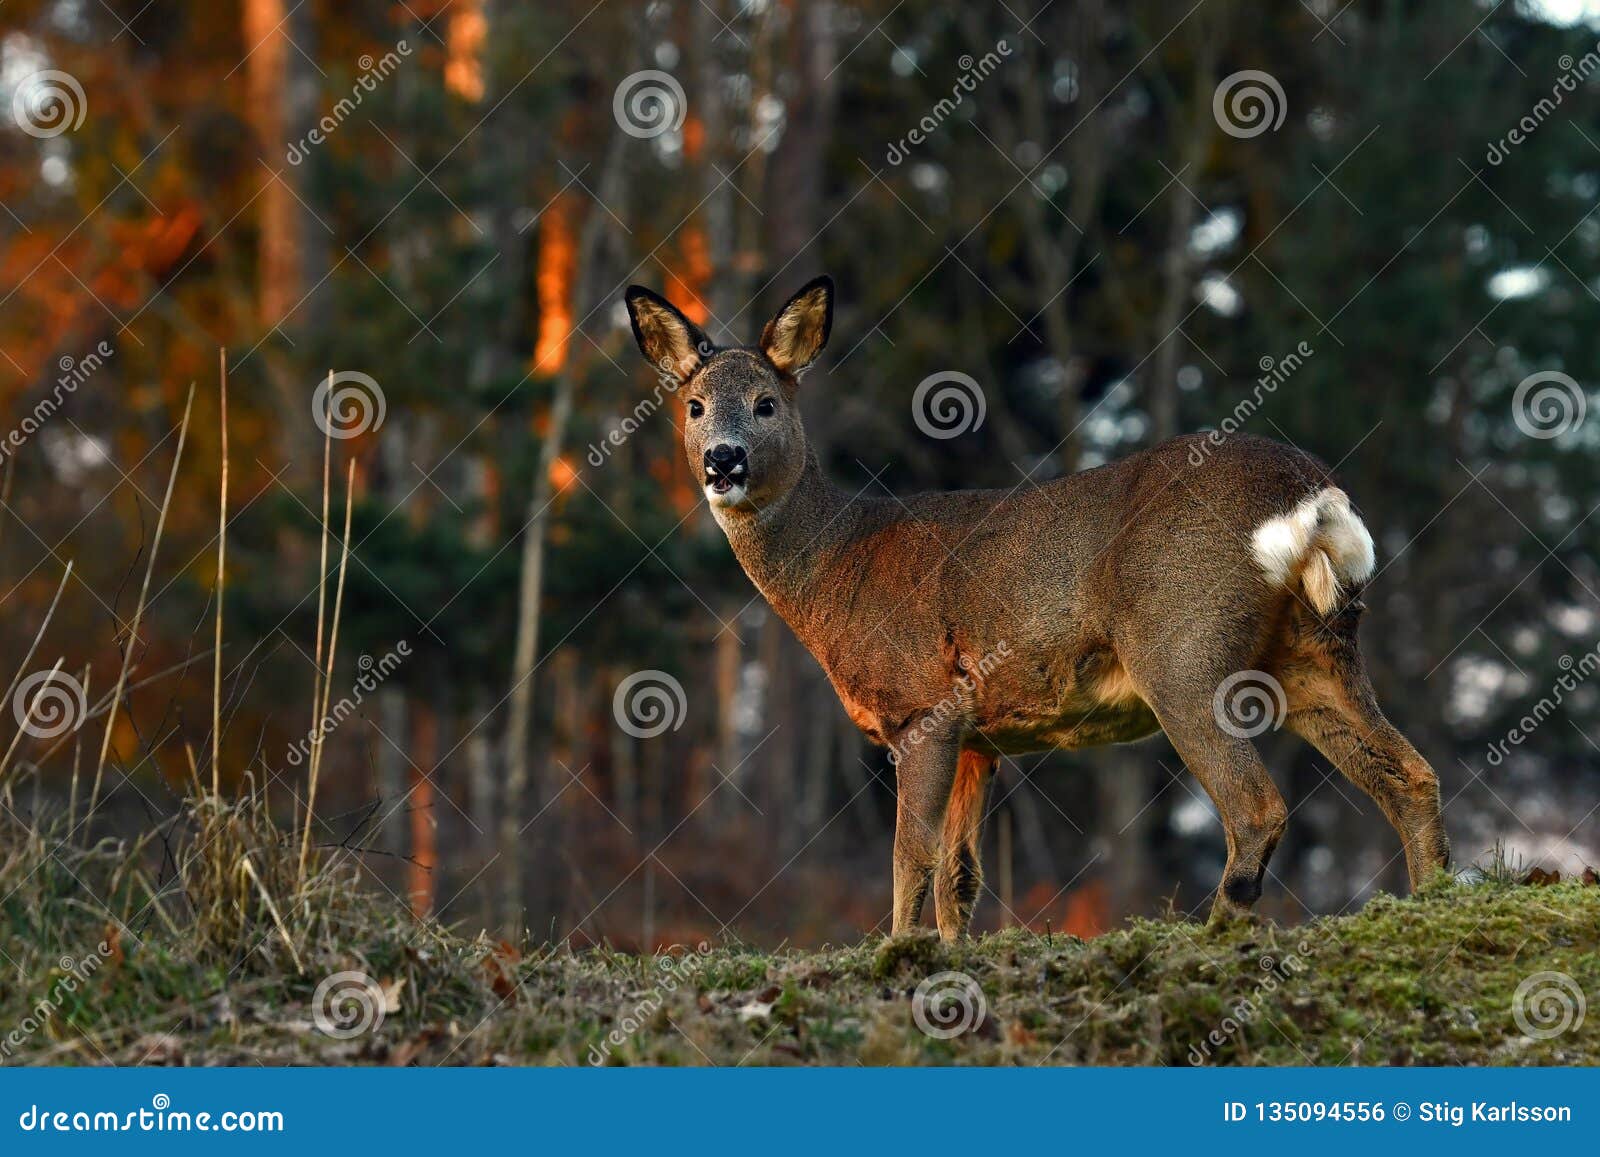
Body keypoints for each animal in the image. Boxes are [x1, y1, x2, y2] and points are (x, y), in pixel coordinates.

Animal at [624, 275, 1450, 941]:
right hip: (1313, 649)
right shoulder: (980, 736)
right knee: (1412, 775)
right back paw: (1431, 903)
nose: (722, 460)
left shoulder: (921, 706)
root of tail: (1312, 496)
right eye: (694, 405)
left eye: (766, 404)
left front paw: (895, 953)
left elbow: (911, 856)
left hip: (1183, 645)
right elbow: (960, 877)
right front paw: (951, 957)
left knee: (1257, 804)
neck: (838, 566)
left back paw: (1218, 929)